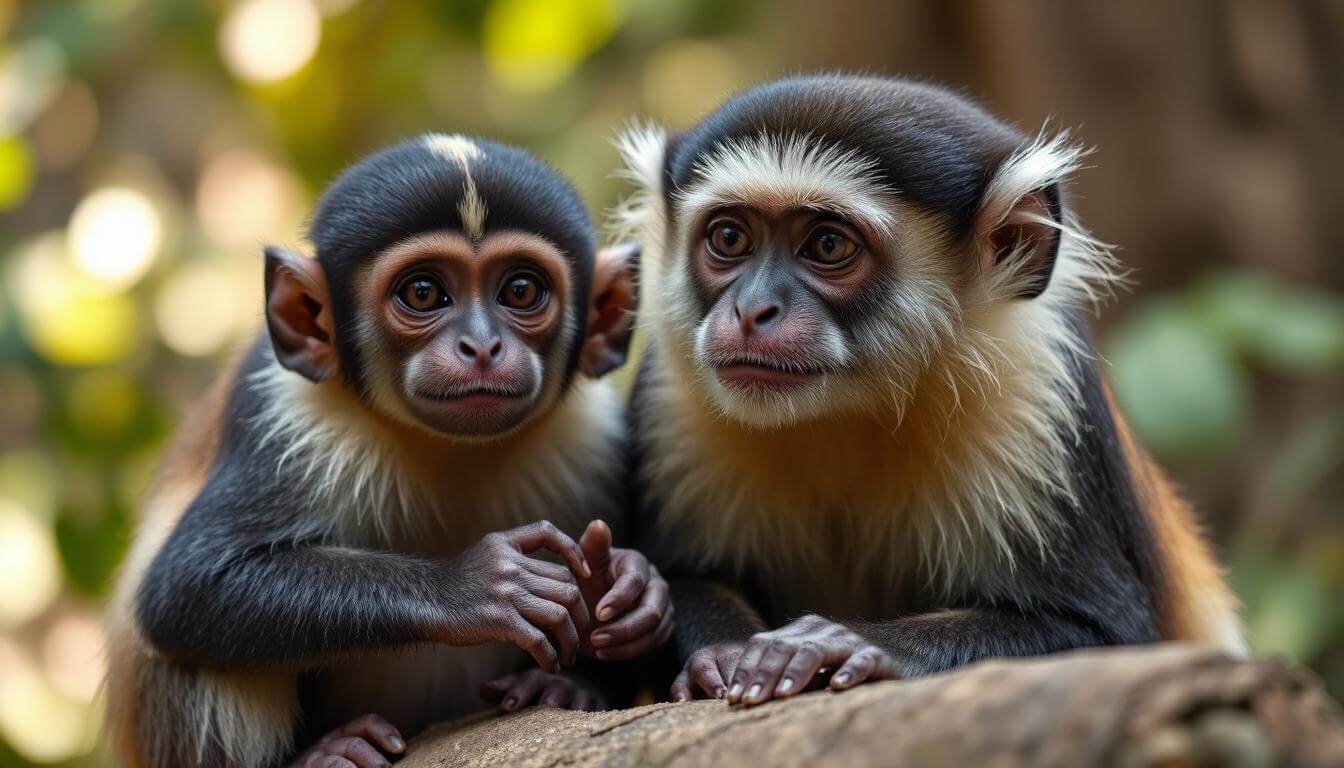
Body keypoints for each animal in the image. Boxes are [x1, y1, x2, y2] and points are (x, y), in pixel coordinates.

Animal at [104, 133, 673, 768]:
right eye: (423, 292)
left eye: (521, 290)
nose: (482, 345)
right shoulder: (278, 413)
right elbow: (186, 585)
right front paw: (475, 588)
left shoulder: (599, 434)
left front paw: (621, 598)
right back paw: (323, 754)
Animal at [611, 74, 1245, 708]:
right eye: (729, 237)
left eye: (828, 246)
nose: (751, 310)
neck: (848, 410)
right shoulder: (670, 395)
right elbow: (683, 578)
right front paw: (720, 651)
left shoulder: (1043, 389)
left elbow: (1109, 635)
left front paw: (845, 644)